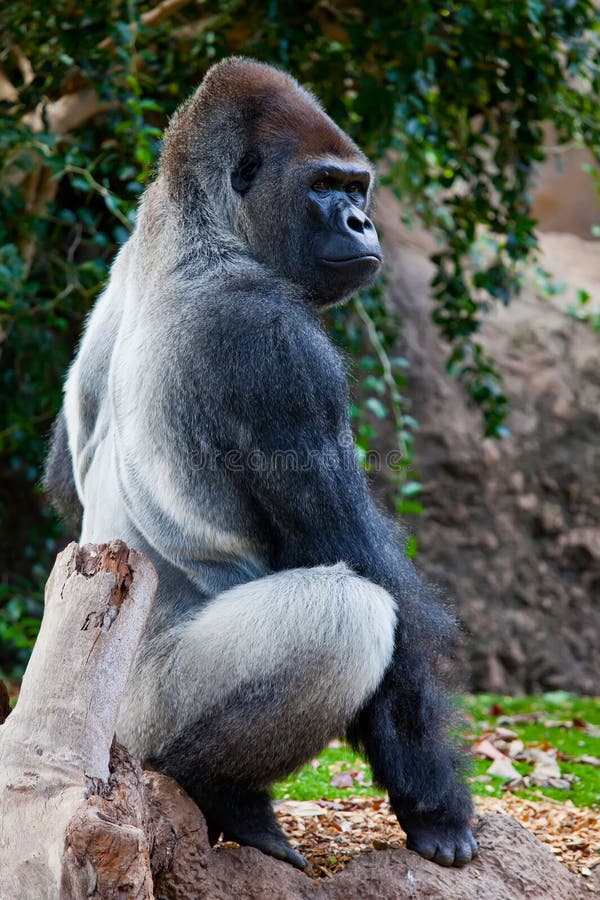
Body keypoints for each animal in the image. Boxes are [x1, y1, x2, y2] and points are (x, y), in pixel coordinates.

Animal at [45, 57, 477, 871]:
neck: (194, 225)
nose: (361, 222)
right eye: (326, 186)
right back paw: (222, 795)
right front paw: (436, 804)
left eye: (357, 188)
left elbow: (62, 476)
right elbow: (361, 578)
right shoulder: (274, 342)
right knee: (349, 614)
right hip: (140, 719)